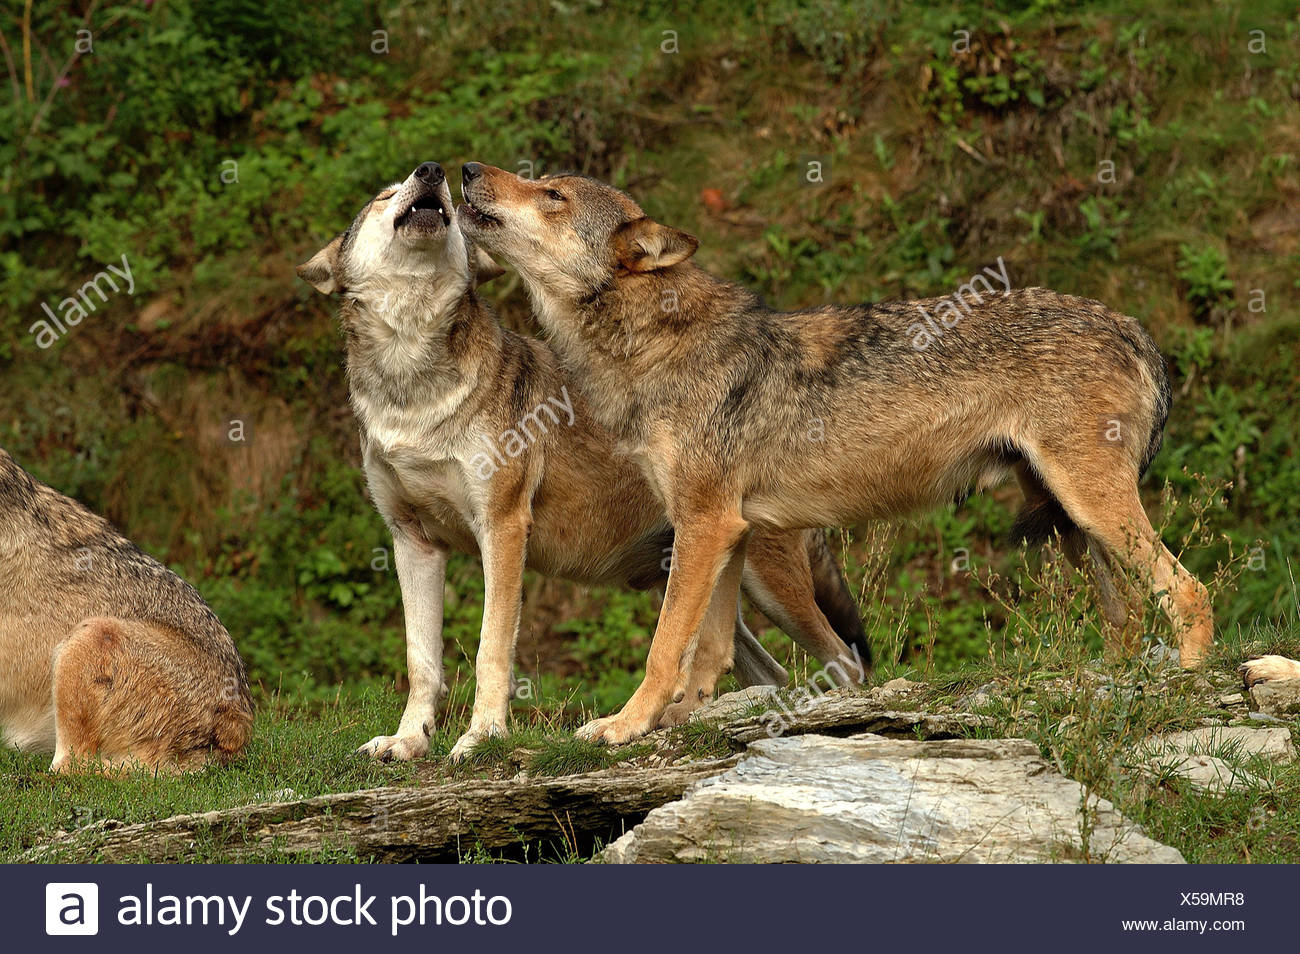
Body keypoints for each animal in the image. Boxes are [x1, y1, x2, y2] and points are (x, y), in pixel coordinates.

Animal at [295, 162, 867, 762]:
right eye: (385, 196)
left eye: (427, 191)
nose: (434, 171)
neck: (411, 391)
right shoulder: (413, 542)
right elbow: (421, 661)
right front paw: (408, 741)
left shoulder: (503, 528)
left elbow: (490, 649)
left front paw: (482, 737)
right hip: (695, 581)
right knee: (759, 669)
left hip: (767, 587)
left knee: (842, 661)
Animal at [459, 161, 1215, 744]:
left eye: (551, 193)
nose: (465, 169)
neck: (651, 347)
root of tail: (1133, 326)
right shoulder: (727, 531)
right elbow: (708, 654)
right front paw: (677, 724)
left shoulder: (705, 524)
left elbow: (665, 648)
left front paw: (625, 725)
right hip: (1068, 524)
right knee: (1124, 619)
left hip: (1089, 508)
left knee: (1189, 588)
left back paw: (1190, 682)